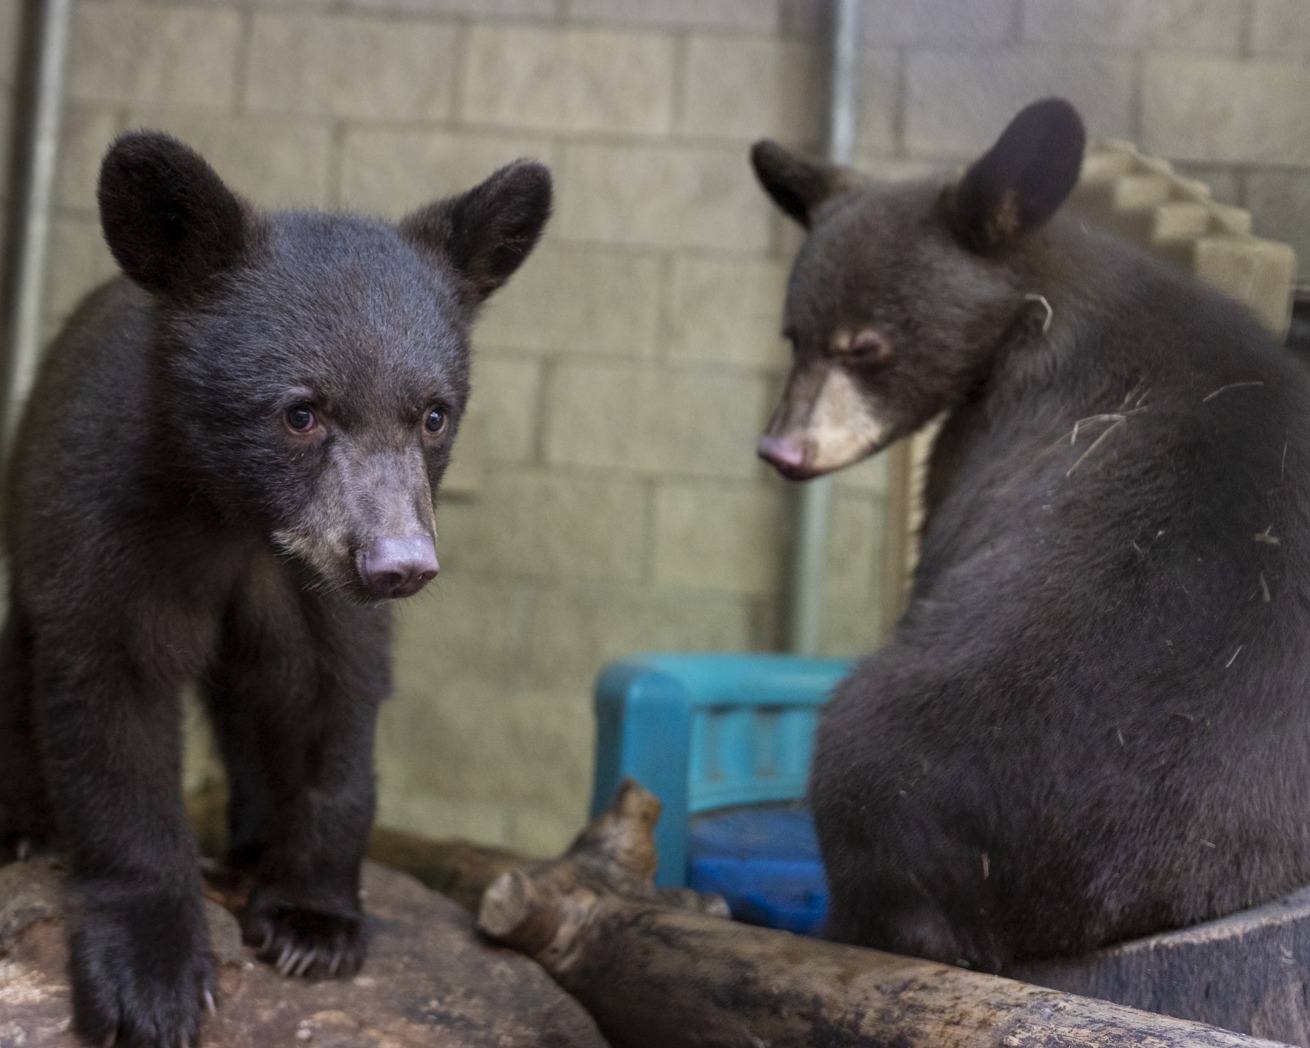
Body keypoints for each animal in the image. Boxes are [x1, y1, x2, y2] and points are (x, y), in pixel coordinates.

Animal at [0, 132, 550, 1047]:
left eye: (433, 415)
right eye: (300, 412)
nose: (399, 564)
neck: (236, 521)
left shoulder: (316, 592)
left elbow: (334, 710)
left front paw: (312, 922)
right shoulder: (108, 534)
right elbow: (113, 712)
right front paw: (148, 983)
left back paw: (254, 844)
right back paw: (22, 827)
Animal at [751, 98, 1310, 972]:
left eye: (866, 345)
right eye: (794, 337)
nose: (781, 449)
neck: (1035, 296)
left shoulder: (979, 439)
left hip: (878, 756)